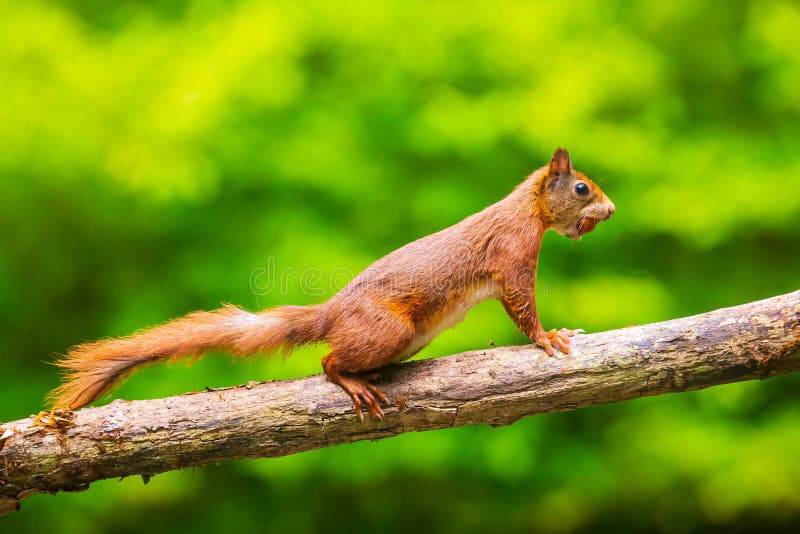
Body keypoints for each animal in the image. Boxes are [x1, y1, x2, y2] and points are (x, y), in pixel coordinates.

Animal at [49, 147, 615, 419]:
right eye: (582, 188)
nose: (610, 211)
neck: (527, 211)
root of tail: (334, 312)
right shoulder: (511, 254)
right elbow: (522, 306)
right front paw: (548, 337)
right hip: (386, 329)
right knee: (327, 363)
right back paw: (353, 381)